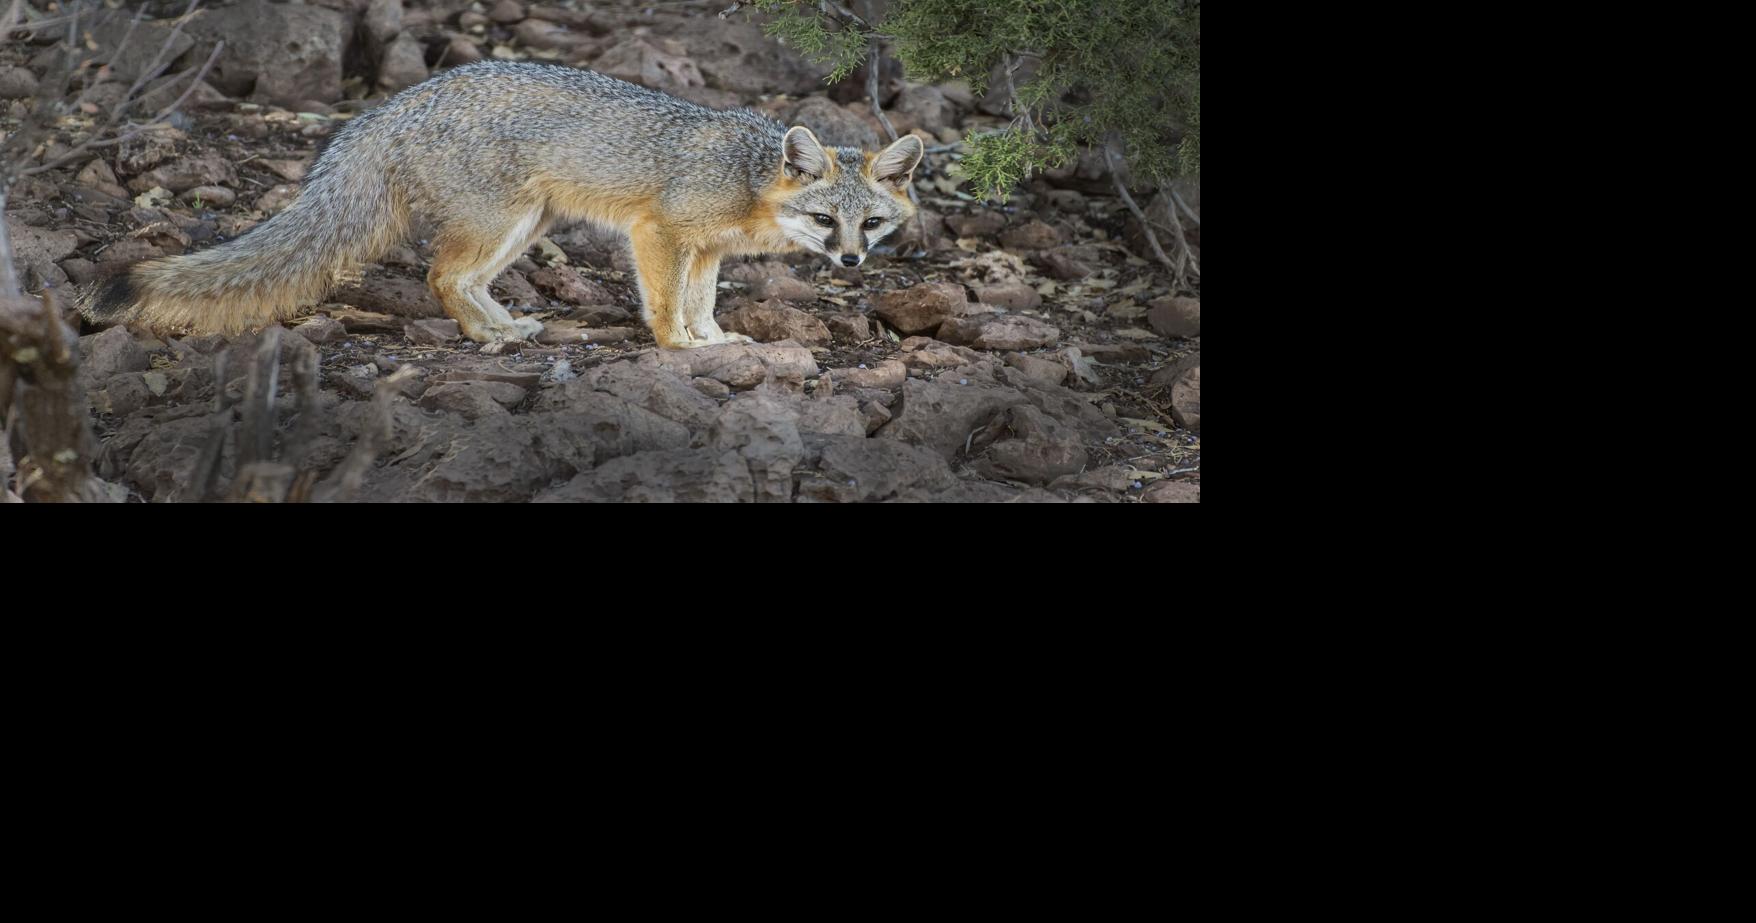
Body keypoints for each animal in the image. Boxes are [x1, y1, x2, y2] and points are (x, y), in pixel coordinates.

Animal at [83, 60, 924, 349]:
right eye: (825, 220)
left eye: (871, 223)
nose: (853, 260)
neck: (748, 178)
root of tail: (400, 99)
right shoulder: (658, 232)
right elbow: (664, 303)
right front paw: (678, 348)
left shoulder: (705, 250)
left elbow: (704, 299)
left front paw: (713, 338)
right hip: (502, 222)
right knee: (439, 277)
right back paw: (488, 335)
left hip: (527, 225)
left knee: (460, 280)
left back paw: (503, 328)